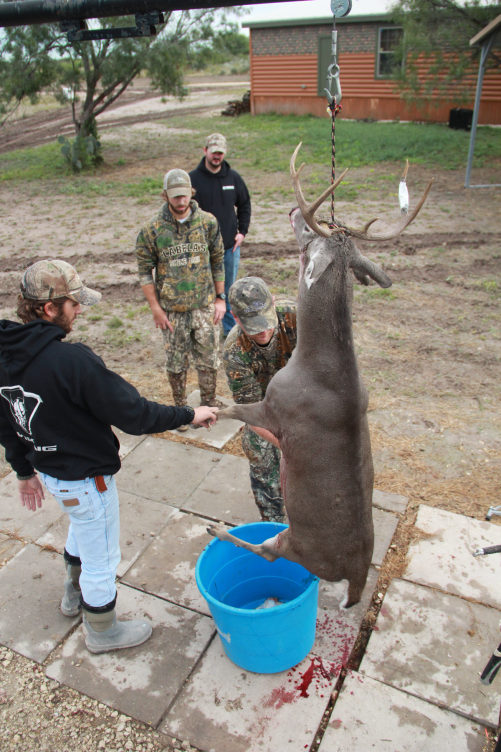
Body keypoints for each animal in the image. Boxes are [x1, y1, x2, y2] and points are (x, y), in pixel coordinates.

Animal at [208, 144, 433, 609]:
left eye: (314, 234)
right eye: (331, 223)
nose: (296, 208)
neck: (318, 362)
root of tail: (357, 577)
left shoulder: (277, 410)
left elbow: (236, 409)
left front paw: (208, 406)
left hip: (299, 544)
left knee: (267, 550)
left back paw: (217, 528)